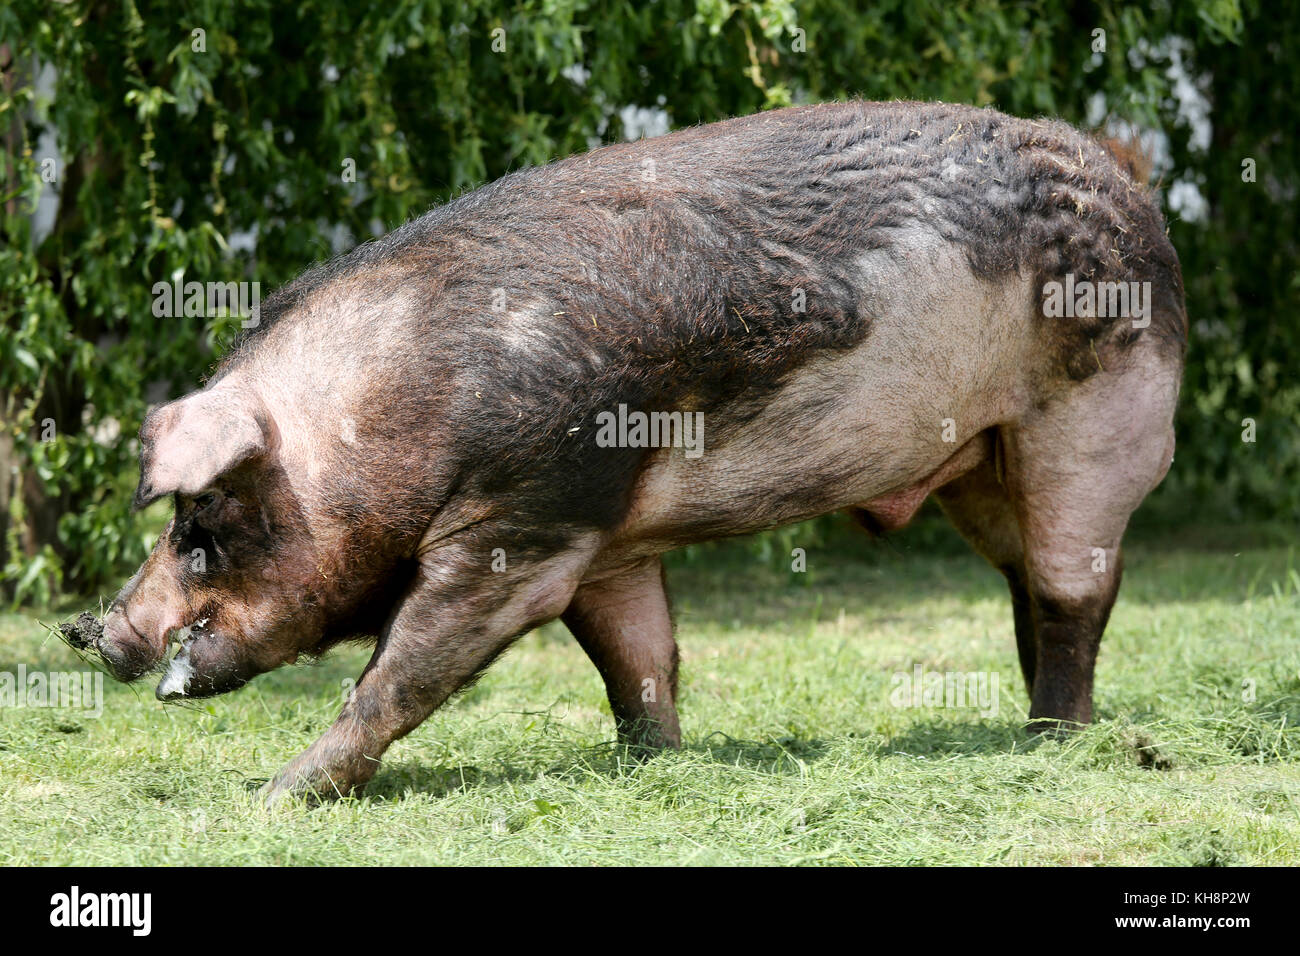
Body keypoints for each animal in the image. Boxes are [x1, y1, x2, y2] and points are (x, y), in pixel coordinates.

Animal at [93, 101, 1185, 803]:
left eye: (201, 524)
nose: (92, 630)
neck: (394, 410)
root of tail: (1131, 185)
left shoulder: (524, 523)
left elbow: (403, 667)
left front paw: (272, 797)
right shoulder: (605, 541)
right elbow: (639, 658)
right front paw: (650, 765)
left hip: (1093, 420)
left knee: (1077, 588)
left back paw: (1054, 742)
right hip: (980, 467)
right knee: (1023, 584)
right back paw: (1036, 725)